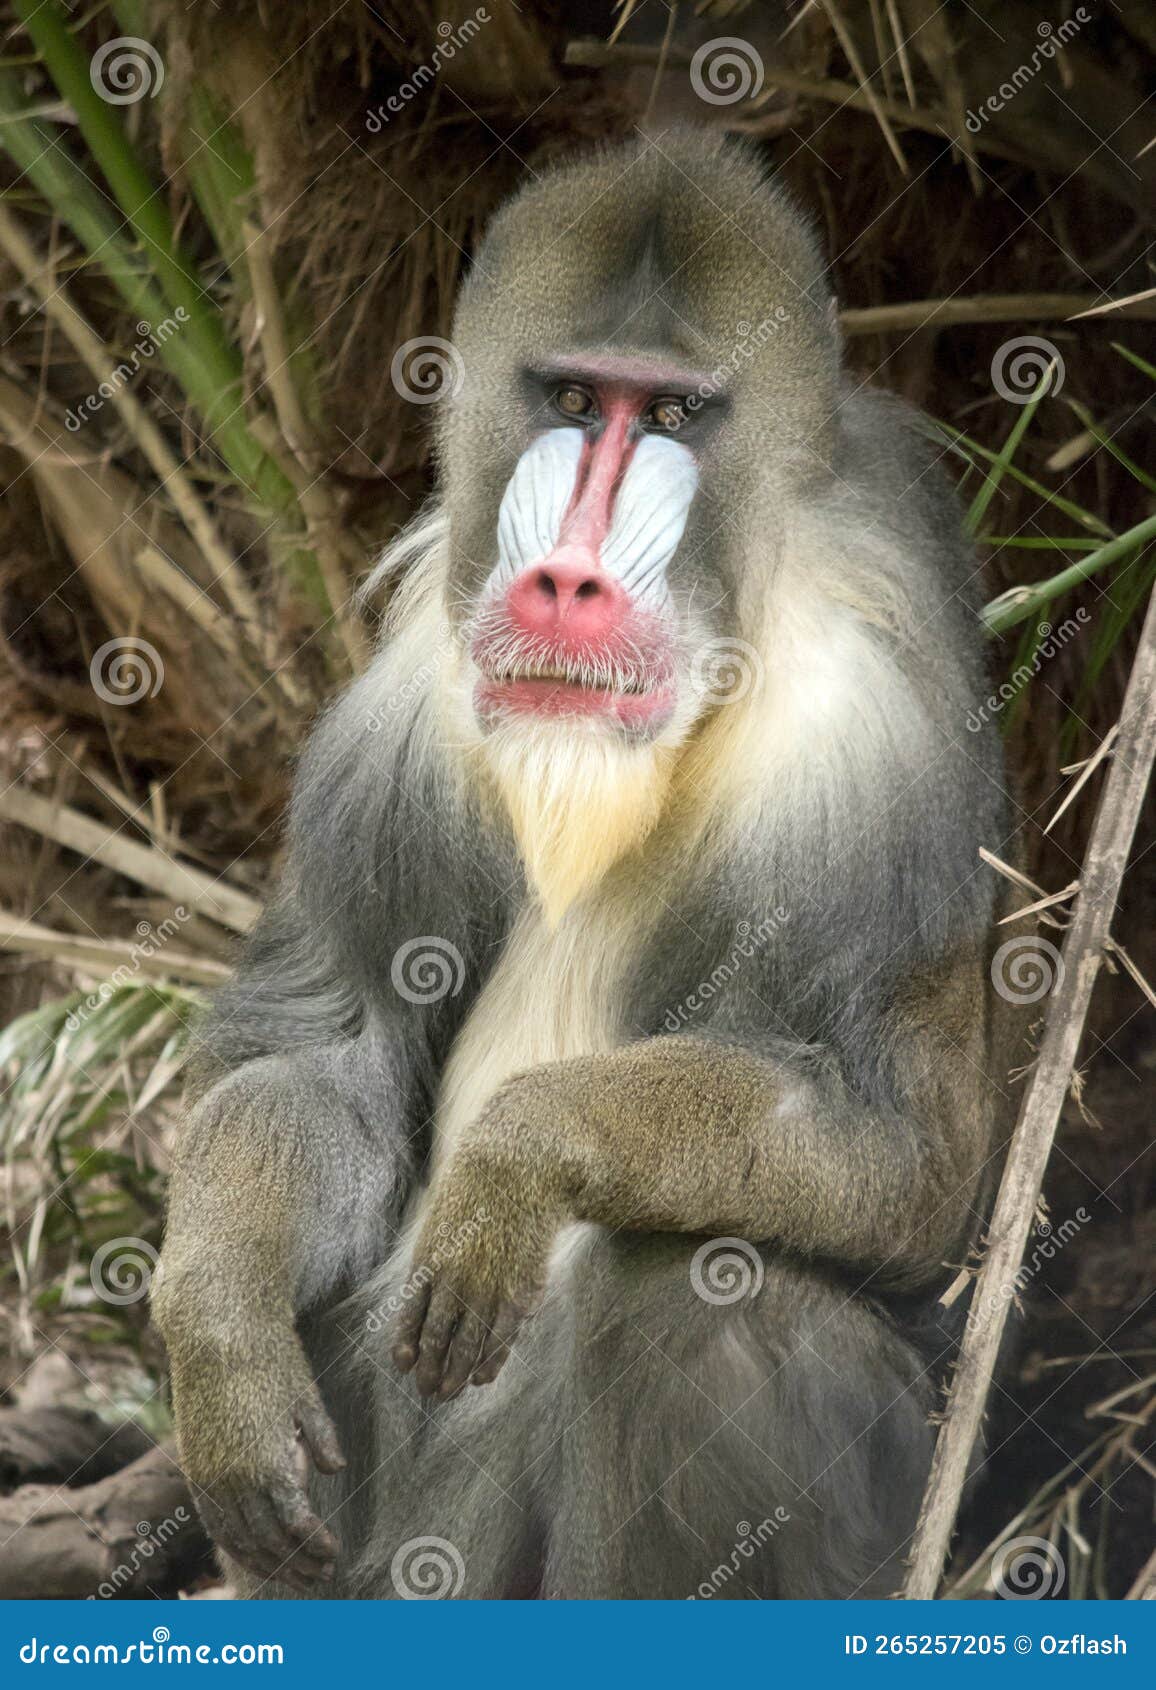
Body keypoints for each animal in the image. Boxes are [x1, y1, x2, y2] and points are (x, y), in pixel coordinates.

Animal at [152, 129, 1028, 1601]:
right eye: (571, 399)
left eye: (668, 418)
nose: (565, 582)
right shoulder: (400, 724)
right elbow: (325, 1053)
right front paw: (218, 1331)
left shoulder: (865, 769)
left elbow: (902, 1155)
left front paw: (529, 1149)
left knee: (698, 1296)